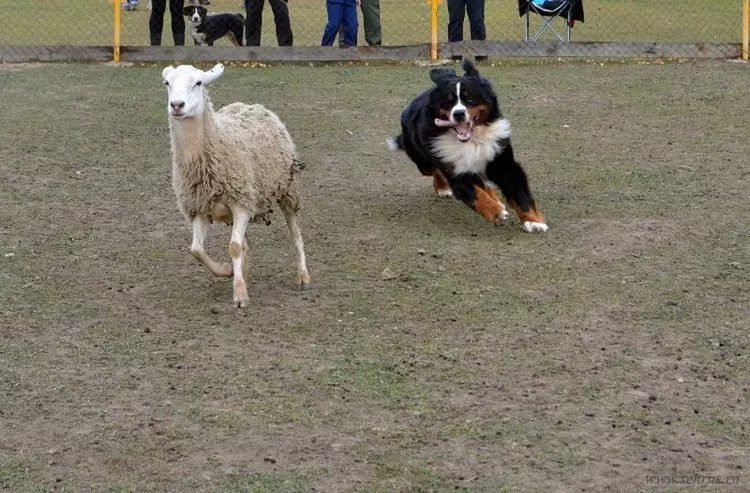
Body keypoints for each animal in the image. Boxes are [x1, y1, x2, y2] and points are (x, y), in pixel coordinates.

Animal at [162, 63, 312, 306]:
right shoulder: (199, 209)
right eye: (167, 83)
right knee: (244, 244)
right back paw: (244, 271)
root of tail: (251, 105)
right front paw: (227, 271)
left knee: (295, 235)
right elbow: (196, 250)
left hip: (287, 191)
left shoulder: (240, 205)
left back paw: (303, 276)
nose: (176, 105)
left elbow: (233, 248)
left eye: (198, 83)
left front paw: (240, 294)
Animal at [390, 59, 548, 233]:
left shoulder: (502, 163)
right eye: (449, 101)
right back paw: (443, 188)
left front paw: (533, 221)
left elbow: (519, 194)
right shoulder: (457, 171)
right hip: (424, 162)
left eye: (470, 98)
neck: (473, 140)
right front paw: (496, 212)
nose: (458, 114)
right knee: (436, 171)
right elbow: (477, 195)